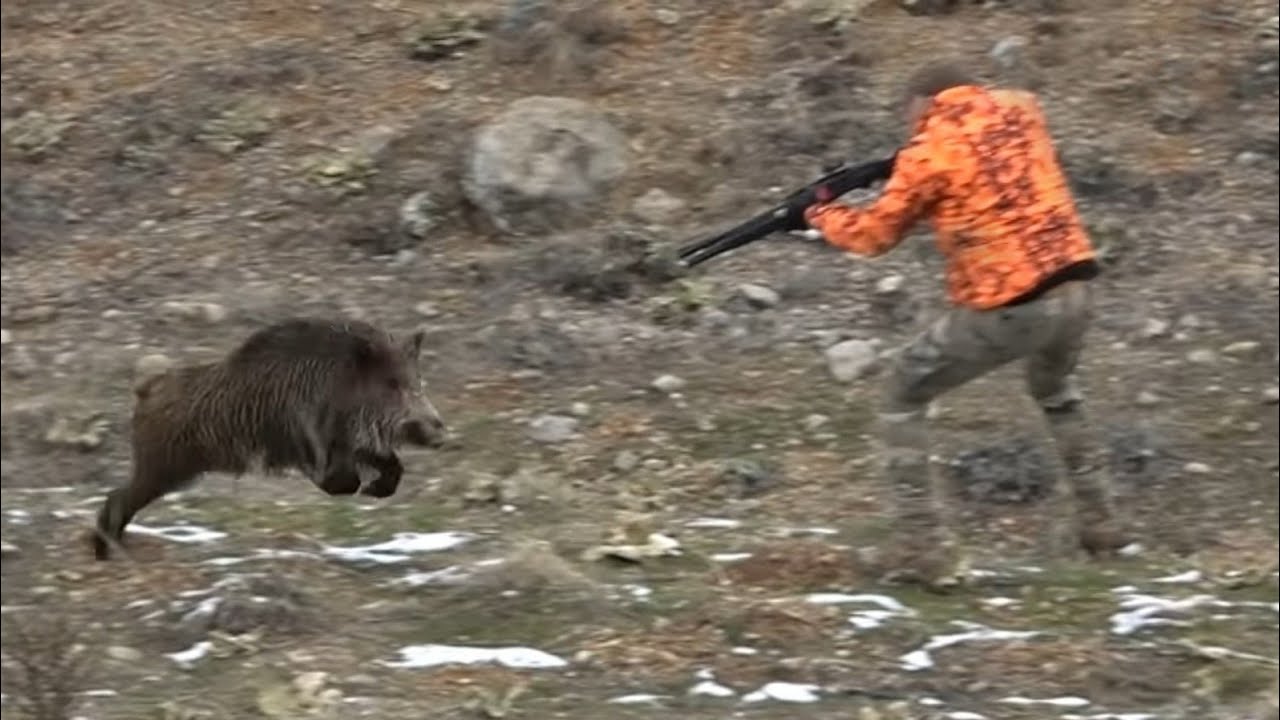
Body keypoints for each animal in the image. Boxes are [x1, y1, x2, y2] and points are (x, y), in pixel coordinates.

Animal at [93, 317, 446, 560]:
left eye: (417, 380)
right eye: (391, 383)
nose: (439, 432)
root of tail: (144, 393)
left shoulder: (356, 442)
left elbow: (389, 467)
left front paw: (373, 490)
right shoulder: (310, 443)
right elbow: (342, 480)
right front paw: (362, 488)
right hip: (162, 467)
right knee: (118, 498)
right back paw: (106, 551)